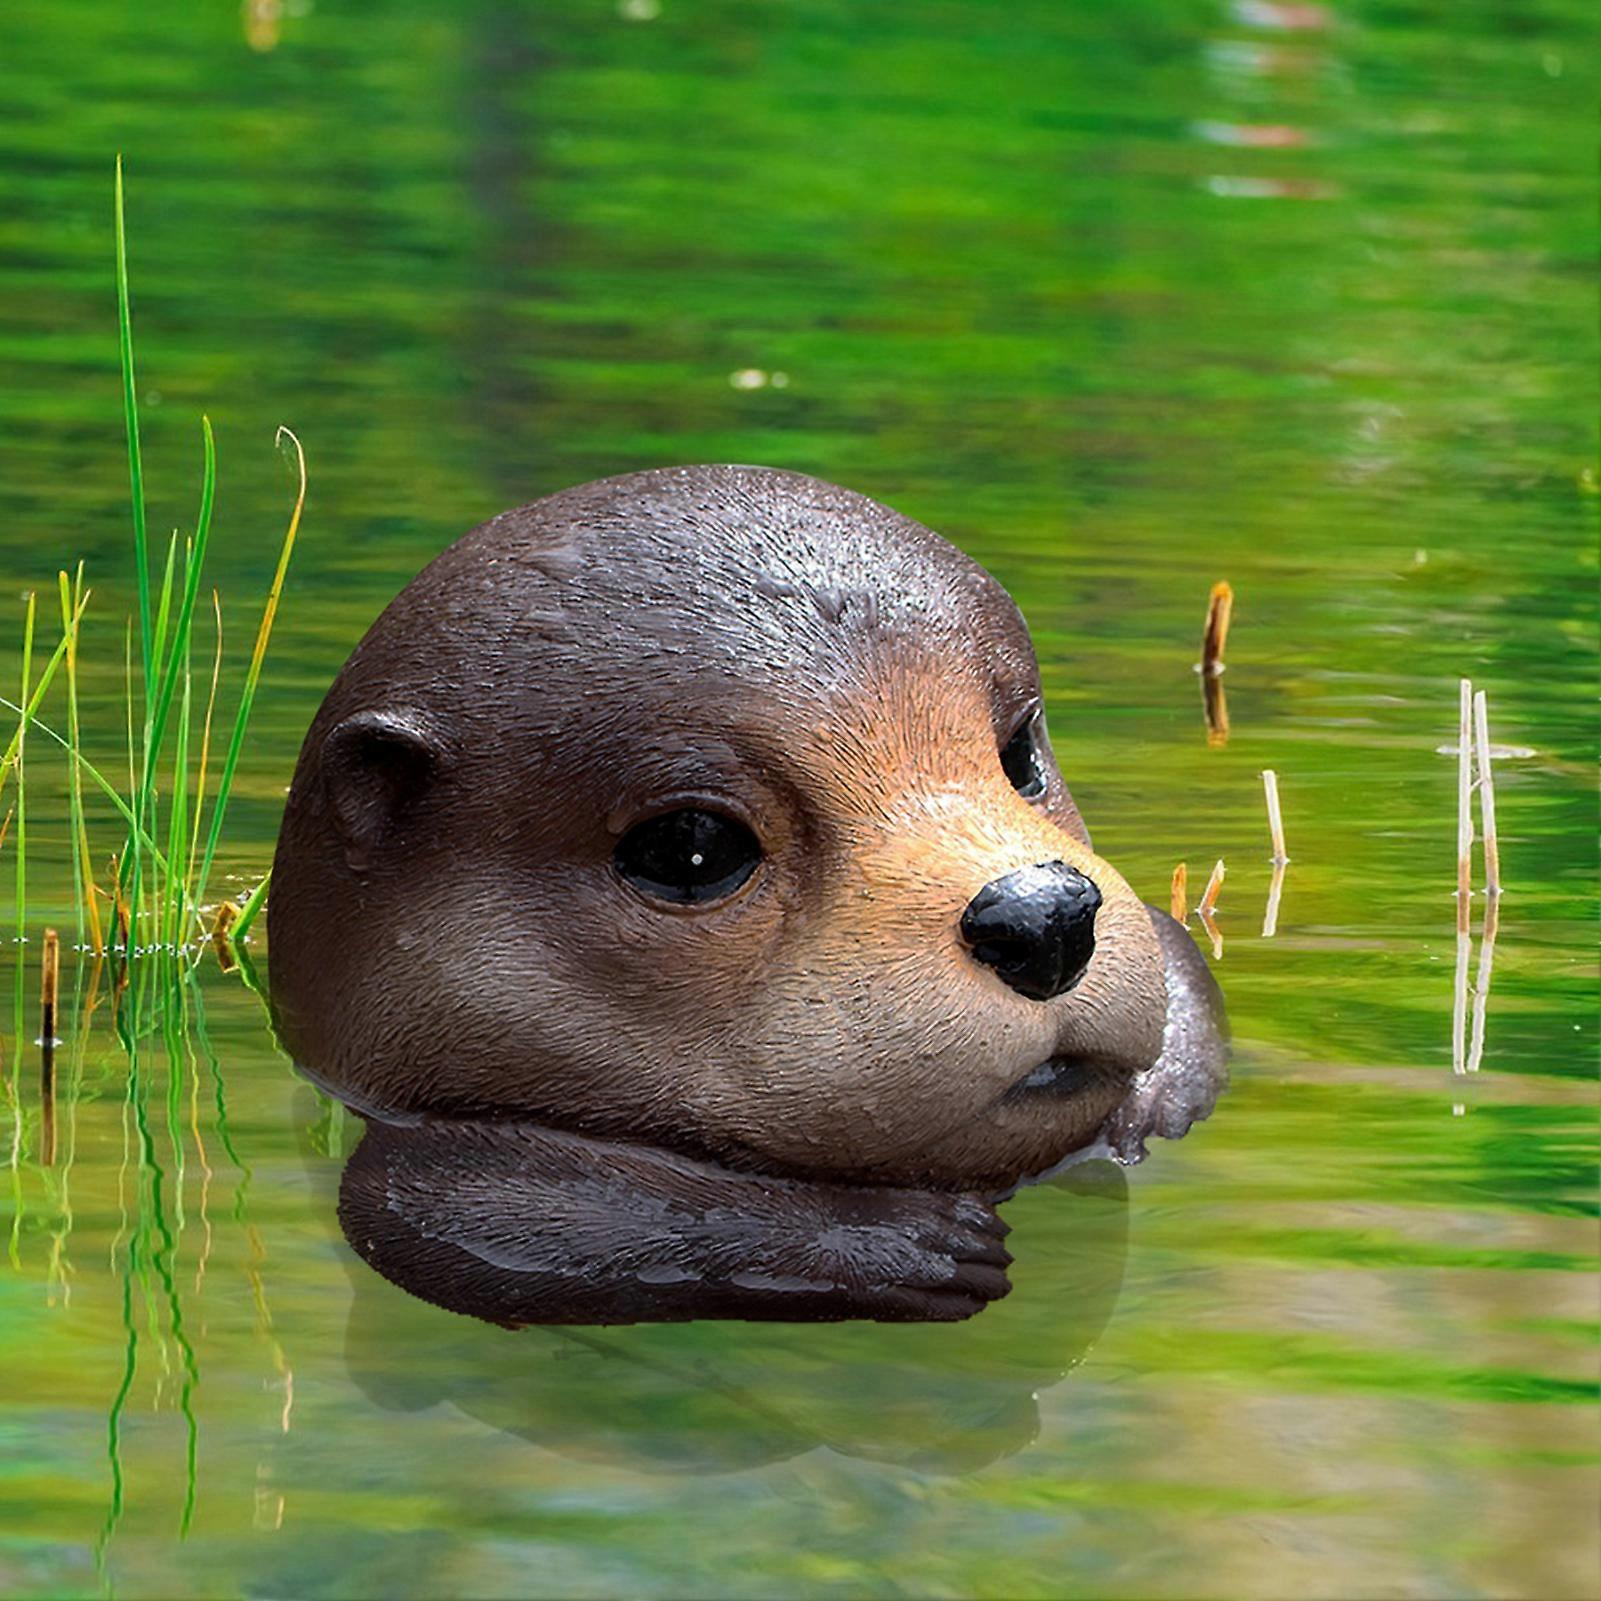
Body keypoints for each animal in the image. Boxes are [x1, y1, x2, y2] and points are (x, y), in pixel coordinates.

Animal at [269, 466, 1225, 1325]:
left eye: (1020, 750)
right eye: (691, 848)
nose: (1043, 915)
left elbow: (1178, 956)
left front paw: (1147, 1103)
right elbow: (432, 1208)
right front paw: (898, 1239)